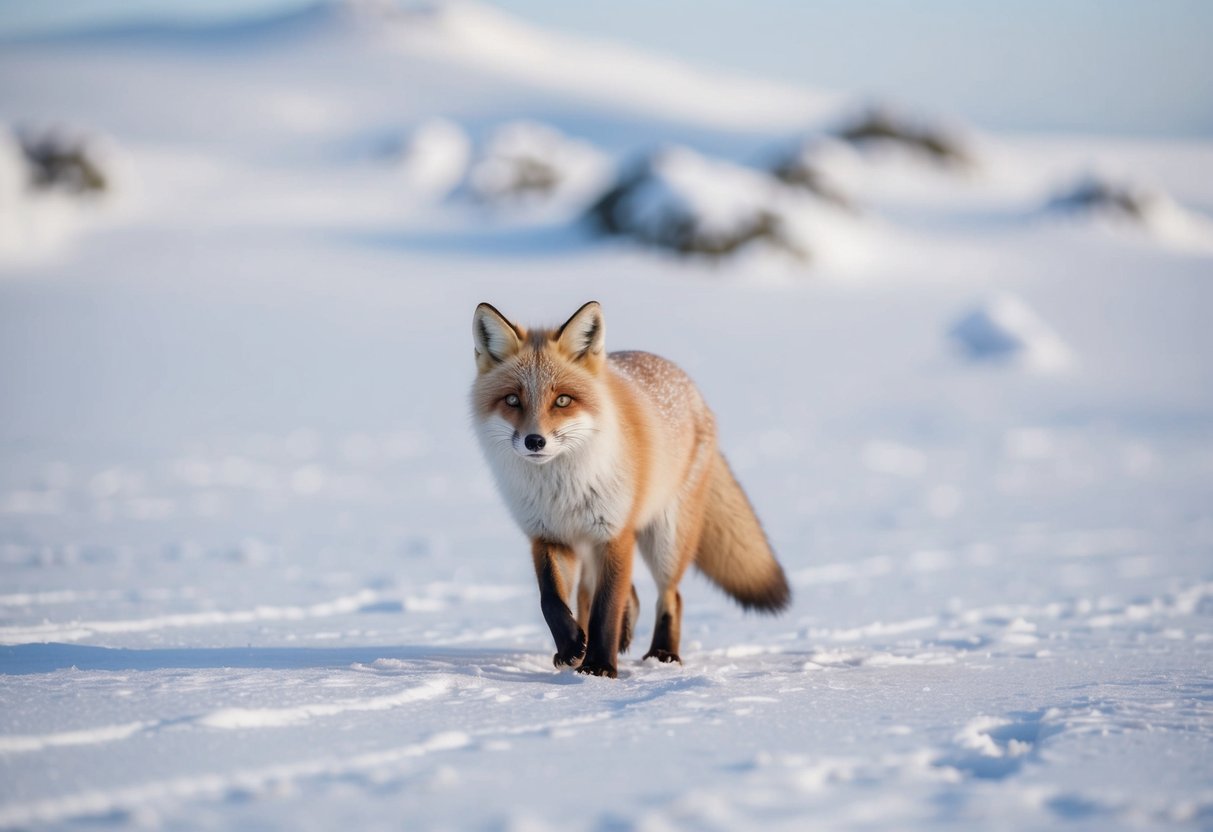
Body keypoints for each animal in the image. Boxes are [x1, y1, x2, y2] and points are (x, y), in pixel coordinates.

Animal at [471, 300, 790, 678]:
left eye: (562, 400)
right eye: (512, 400)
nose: (535, 441)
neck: (561, 490)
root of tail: (687, 384)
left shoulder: (615, 533)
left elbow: (606, 609)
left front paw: (598, 668)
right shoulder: (548, 535)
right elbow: (551, 600)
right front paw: (571, 647)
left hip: (665, 539)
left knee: (670, 596)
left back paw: (663, 653)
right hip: (593, 547)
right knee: (598, 594)